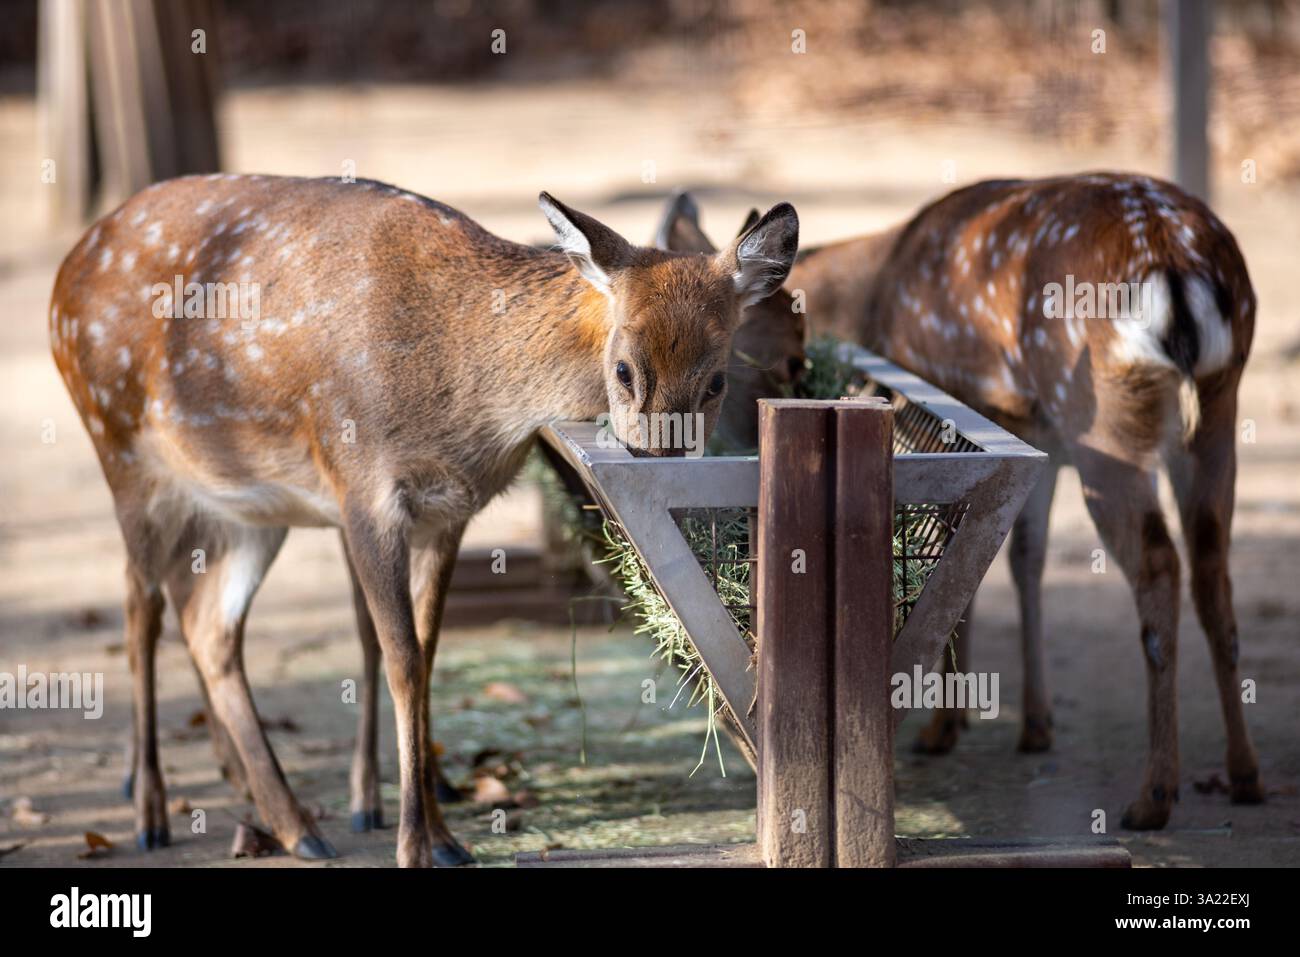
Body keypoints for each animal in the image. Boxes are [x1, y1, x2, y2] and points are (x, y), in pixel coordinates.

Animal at [50, 172, 799, 866]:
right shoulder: (363, 489)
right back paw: (152, 813)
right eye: (622, 369)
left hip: (246, 505)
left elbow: (428, 651)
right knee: (141, 607)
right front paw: (413, 843)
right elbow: (402, 658)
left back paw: (295, 826)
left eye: (716, 379)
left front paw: (442, 836)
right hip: (121, 449)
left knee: (206, 623)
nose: (656, 461)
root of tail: (68, 271)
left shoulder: (449, 511)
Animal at [658, 172, 1263, 831]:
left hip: (1105, 416)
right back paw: (1242, 774)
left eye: (729, 354)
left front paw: (944, 726)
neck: (879, 290)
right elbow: (1025, 558)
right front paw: (1034, 726)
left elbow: (957, 558)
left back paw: (1152, 795)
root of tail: (1179, 264)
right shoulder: (1038, 435)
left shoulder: (960, 423)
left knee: (1160, 564)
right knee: (1212, 565)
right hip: (1218, 405)